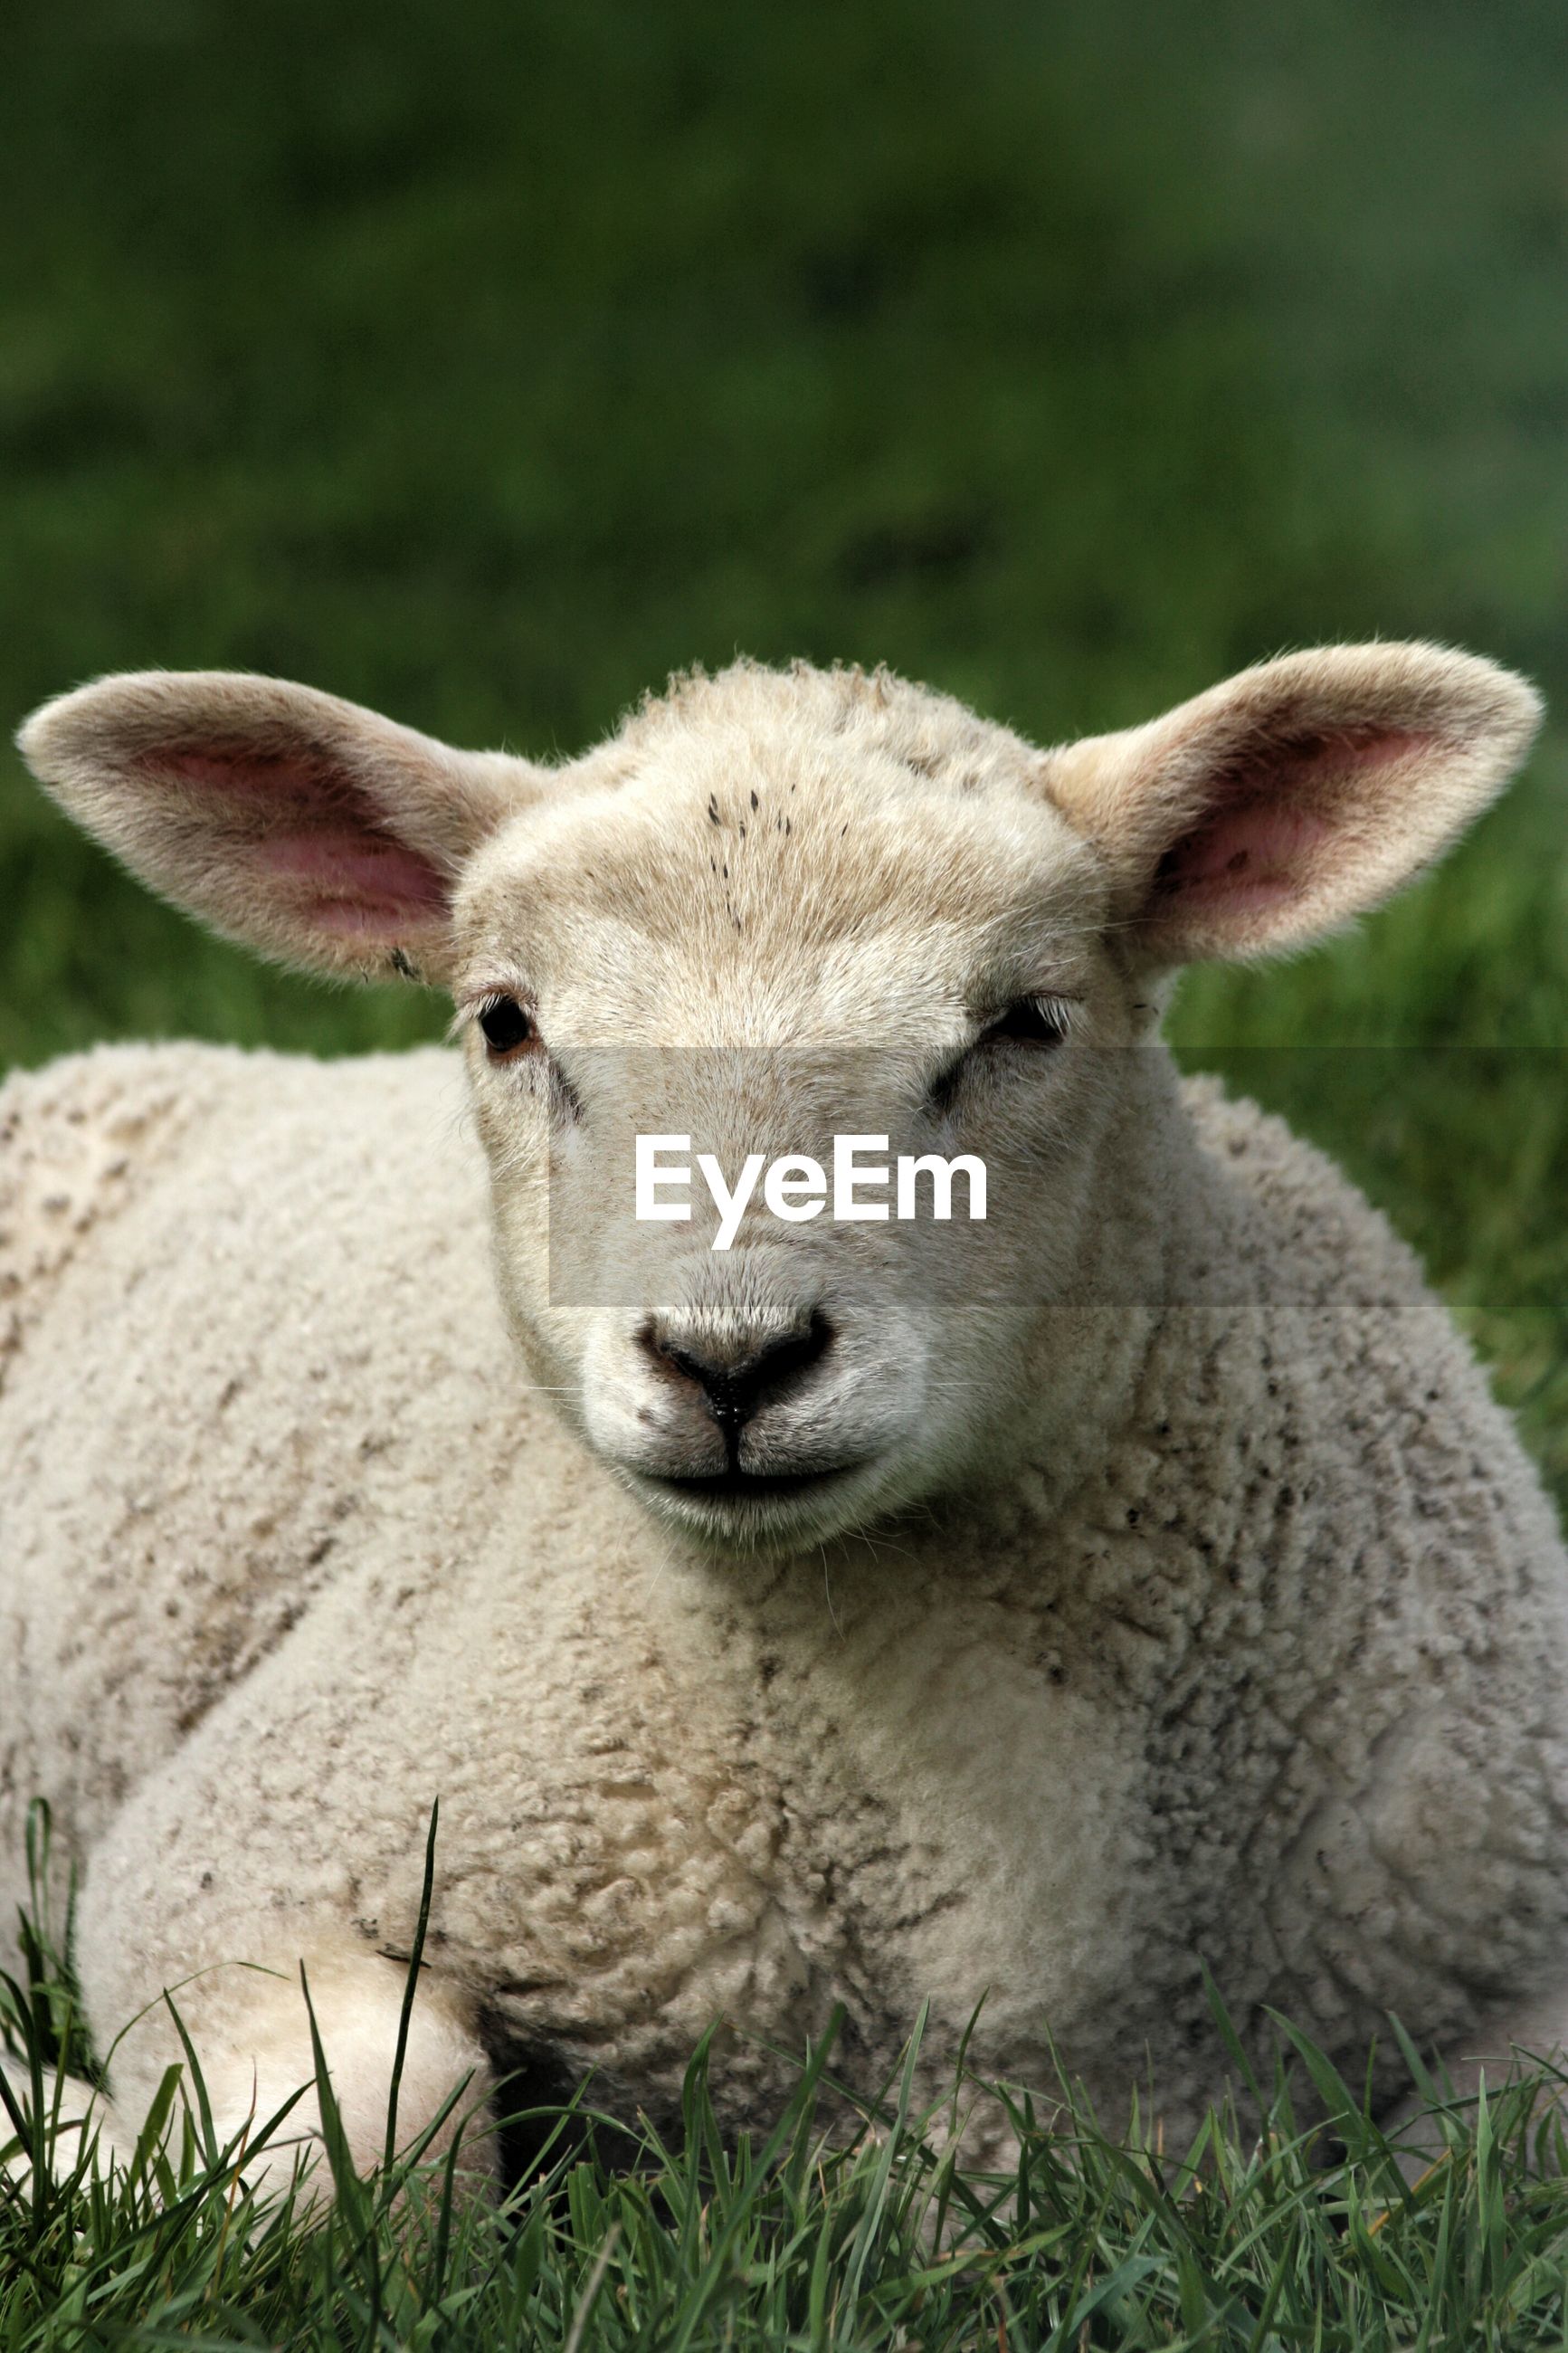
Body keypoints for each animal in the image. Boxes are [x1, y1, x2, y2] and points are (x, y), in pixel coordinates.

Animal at [3, 642, 1567, 2202]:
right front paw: (65, 2132)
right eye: (507, 1022)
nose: (731, 1362)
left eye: (1025, 1022)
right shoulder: (251, 1848)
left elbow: (1480, 2171)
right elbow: (378, 2138)